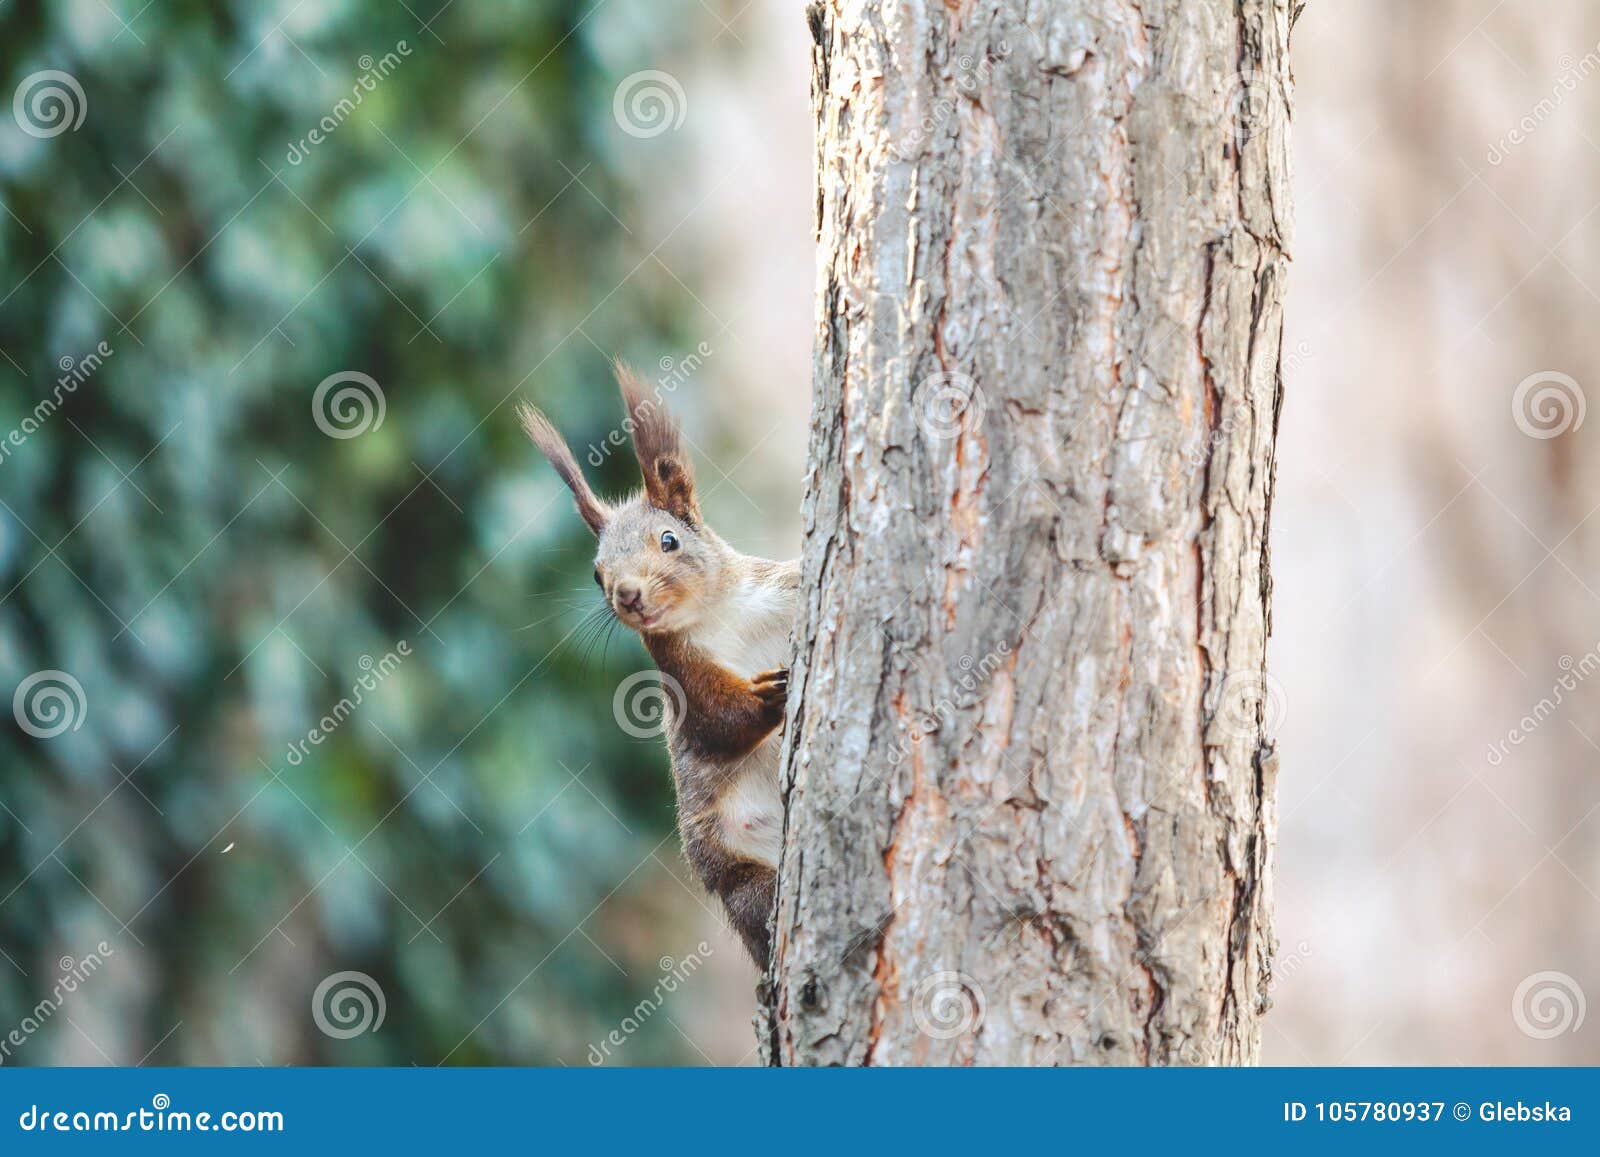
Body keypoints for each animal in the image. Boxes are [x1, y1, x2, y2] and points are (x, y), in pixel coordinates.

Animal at [516, 363, 799, 969]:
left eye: (669, 540)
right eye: (596, 574)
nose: (627, 595)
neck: (720, 612)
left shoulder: (783, 588)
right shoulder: (681, 673)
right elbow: (715, 722)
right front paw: (769, 697)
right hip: (742, 877)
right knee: (759, 912)